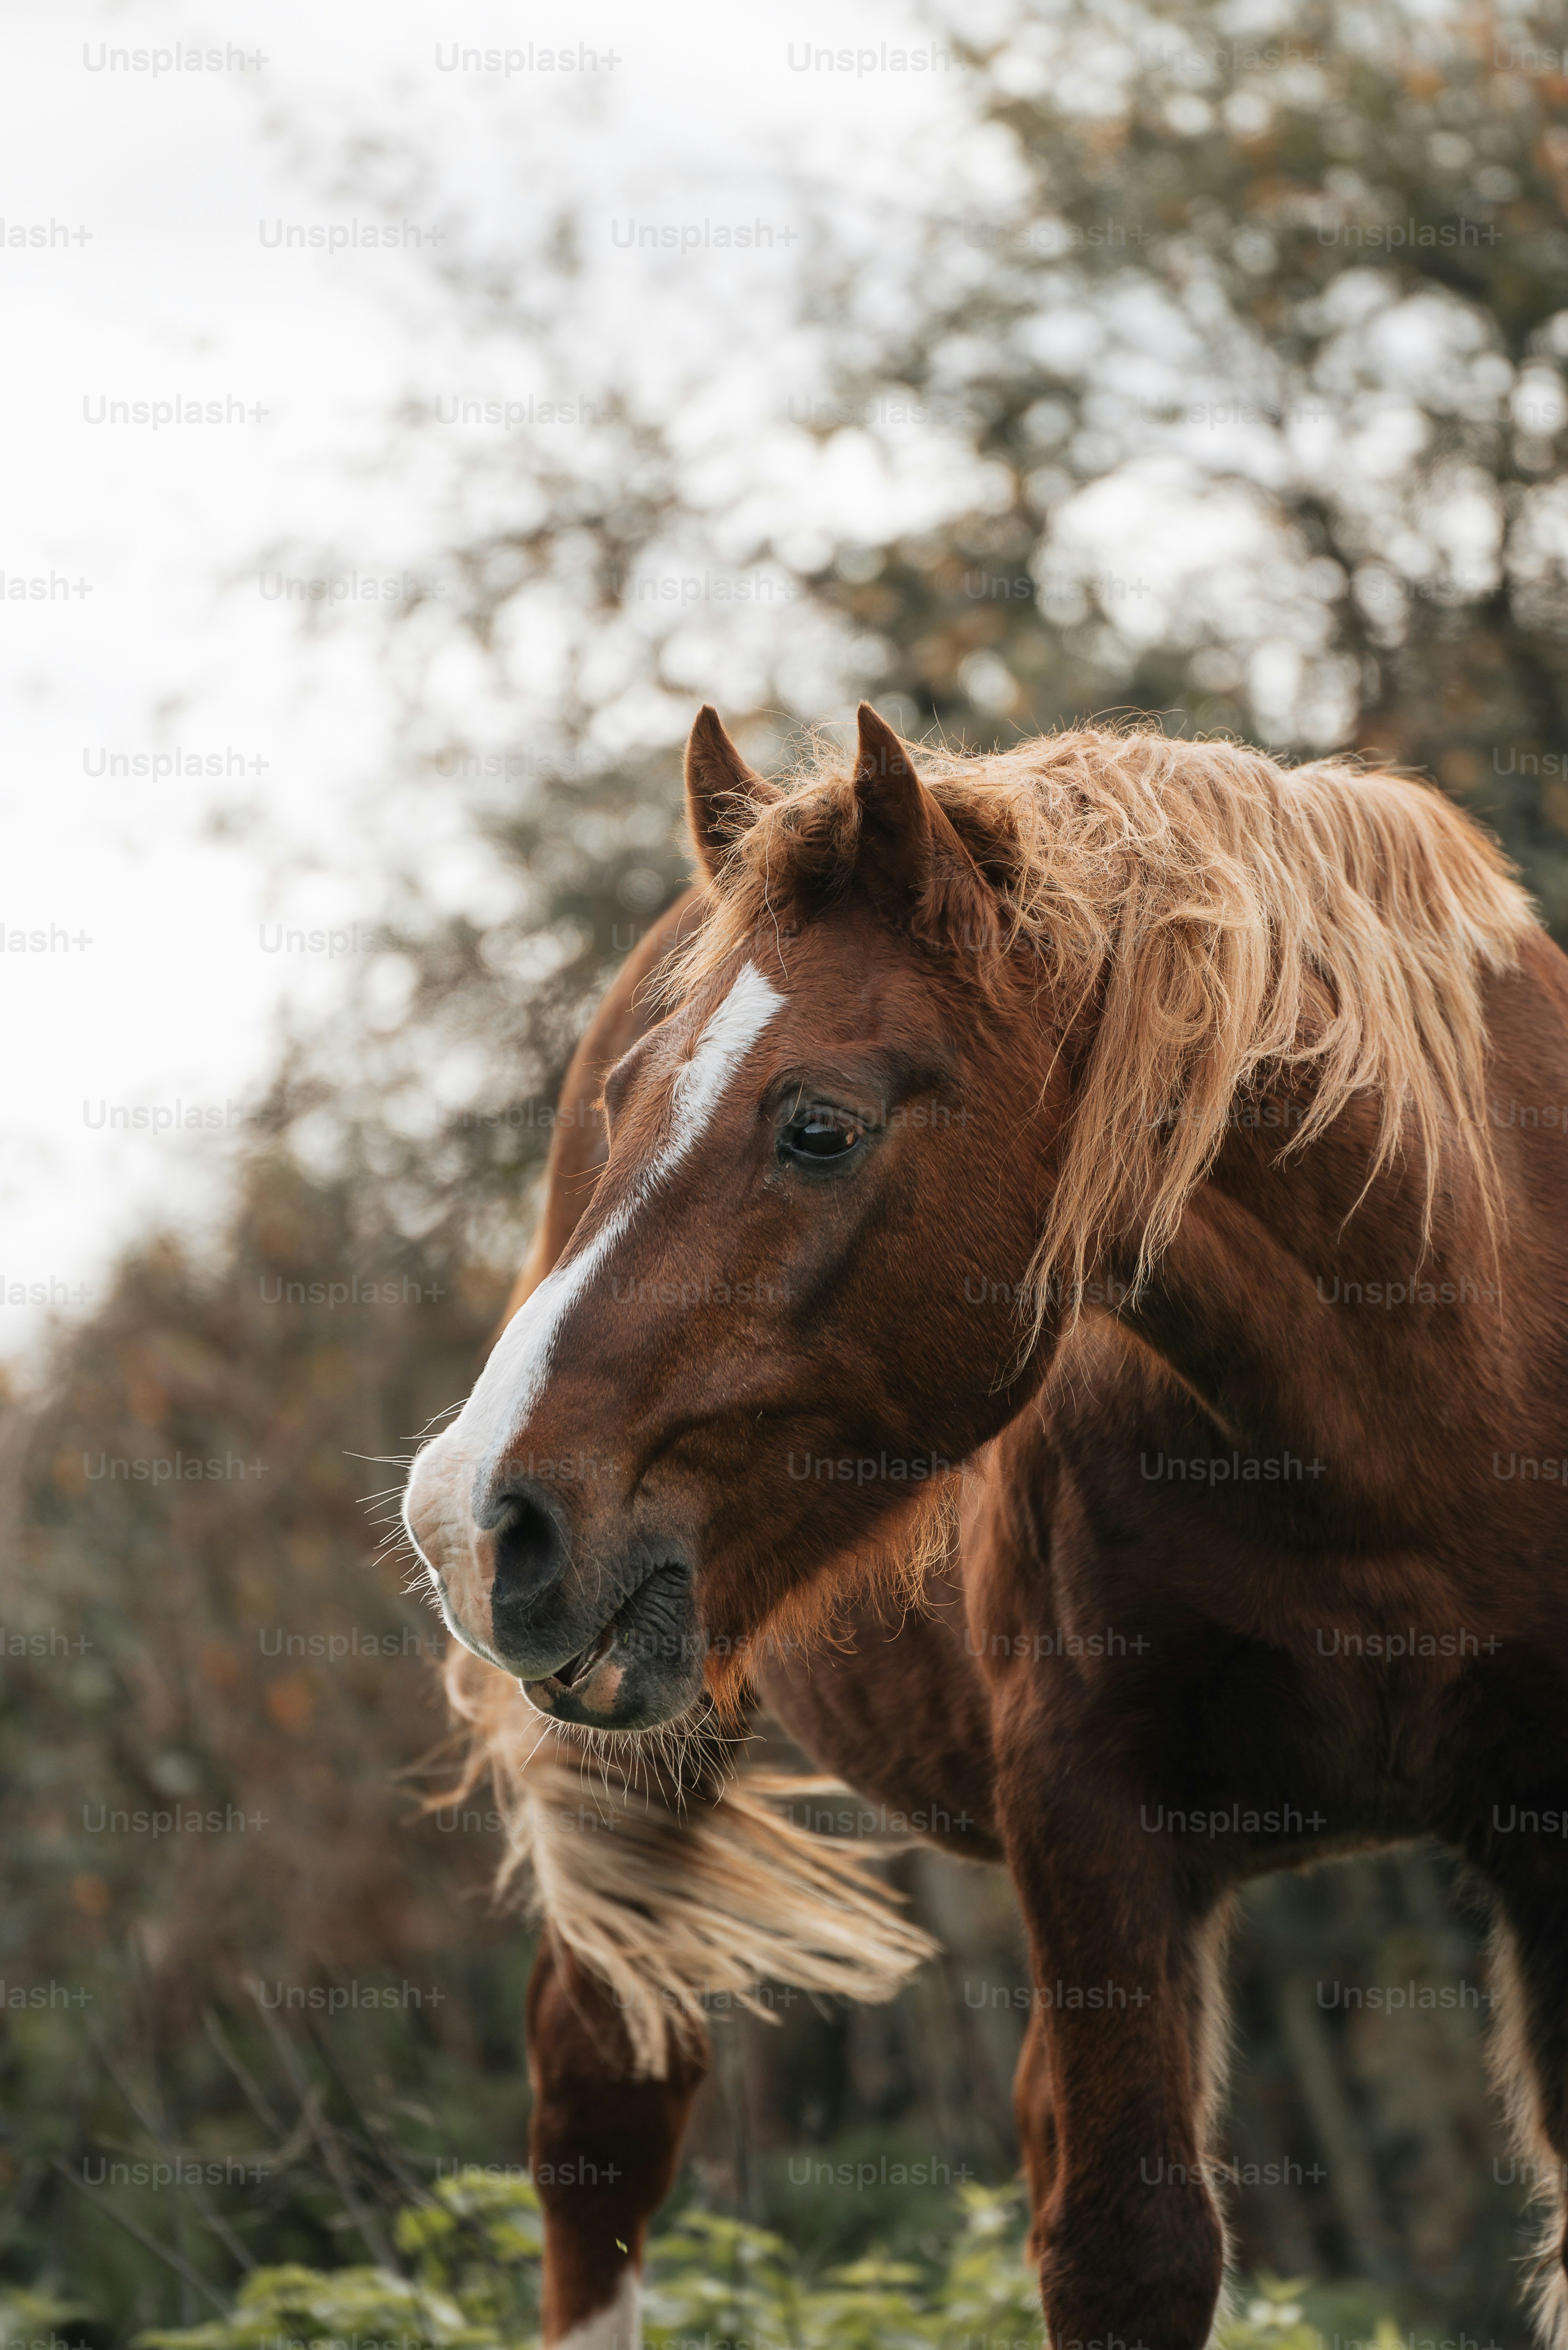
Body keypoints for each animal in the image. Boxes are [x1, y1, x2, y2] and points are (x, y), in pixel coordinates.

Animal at [403, 701, 1568, 2350]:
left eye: (819, 1127)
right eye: (625, 1109)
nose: (469, 1518)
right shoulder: (1088, 1806)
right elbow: (1130, 2247)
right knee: (603, 2108)